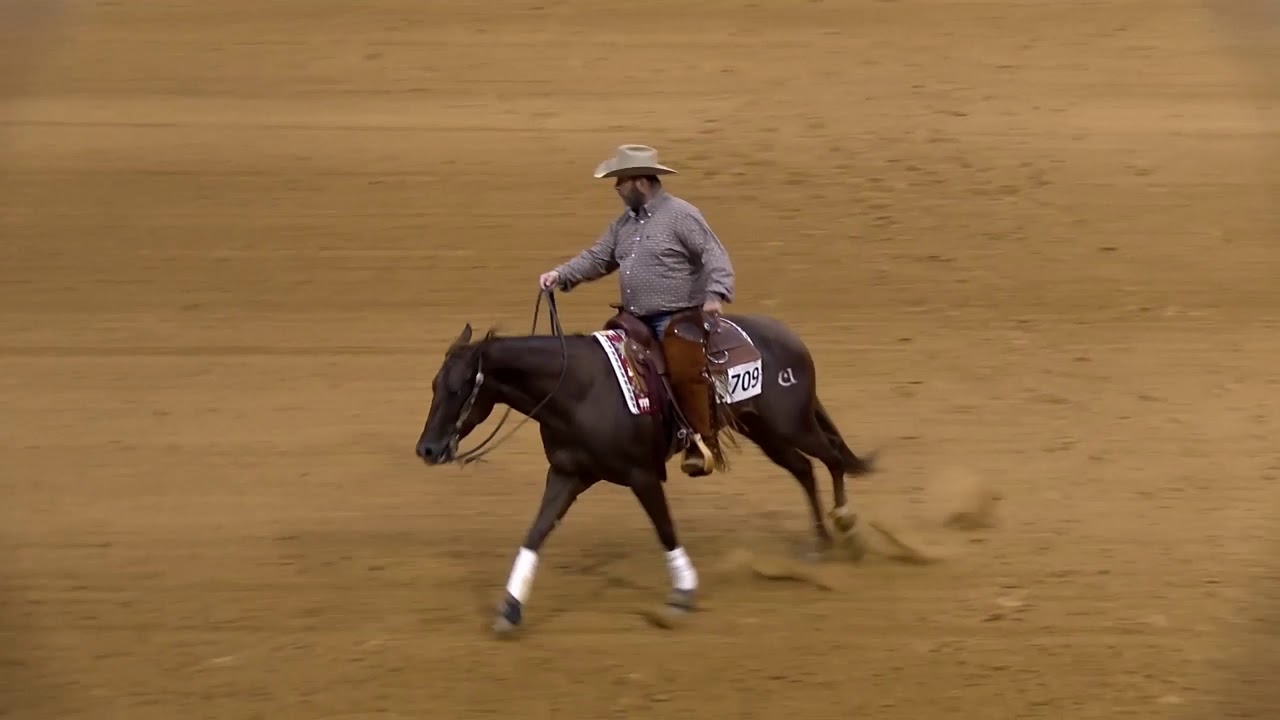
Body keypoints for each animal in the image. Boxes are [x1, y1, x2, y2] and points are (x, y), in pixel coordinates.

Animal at [413, 292, 877, 635]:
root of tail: (789, 337)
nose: (428, 450)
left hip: (791, 423)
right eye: (434, 384)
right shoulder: (567, 474)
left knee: (831, 458)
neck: (579, 388)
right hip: (764, 430)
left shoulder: (642, 475)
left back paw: (847, 526)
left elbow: (665, 529)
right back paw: (821, 543)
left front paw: (681, 595)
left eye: (460, 388)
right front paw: (510, 608)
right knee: (804, 468)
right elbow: (535, 534)